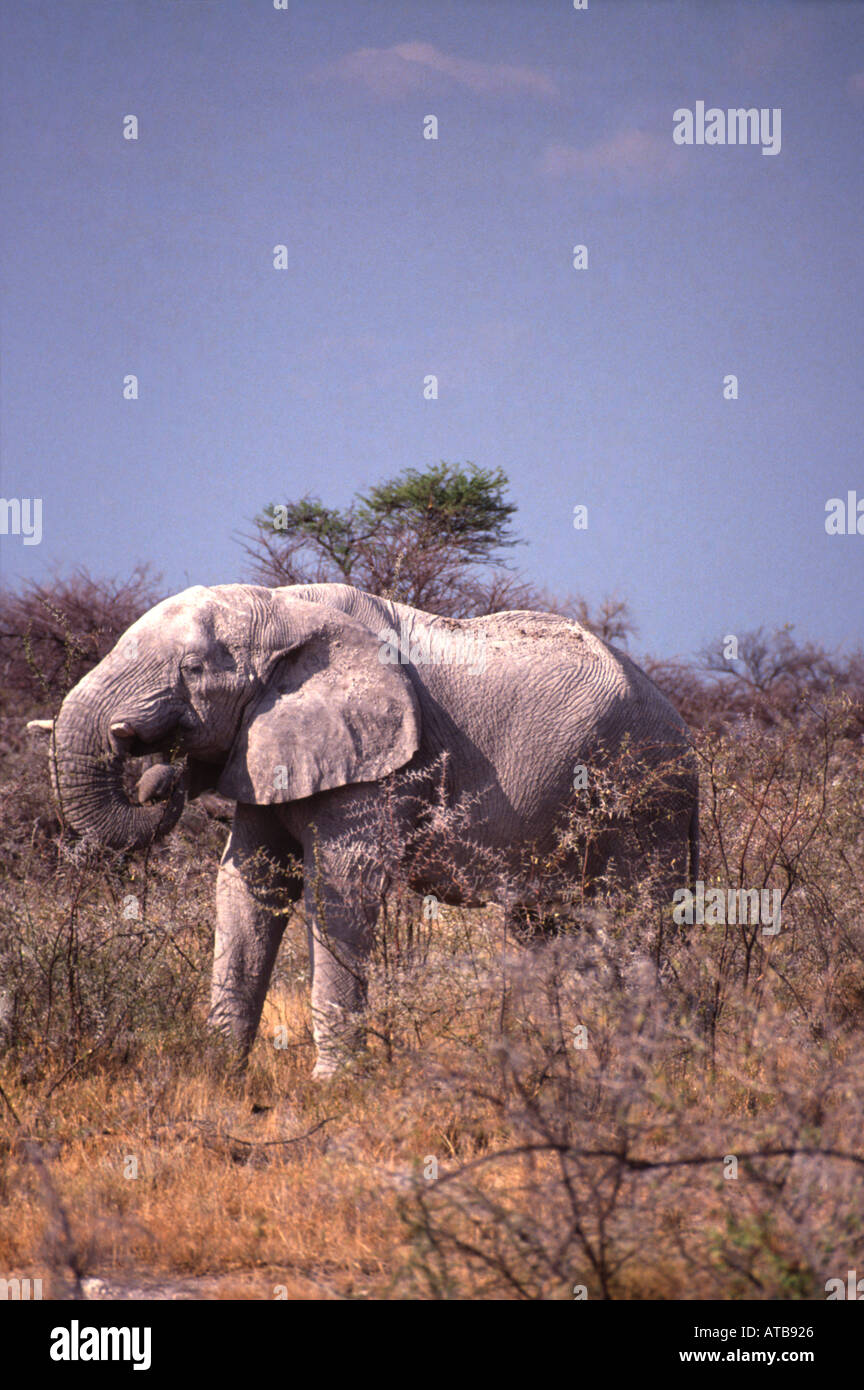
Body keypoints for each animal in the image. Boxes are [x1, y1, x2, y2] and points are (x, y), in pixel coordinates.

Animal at [31, 582, 698, 1077]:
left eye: (193, 669)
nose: (158, 773)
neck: (285, 608)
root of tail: (683, 725)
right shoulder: (270, 745)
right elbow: (248, 886)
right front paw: (217, 1075)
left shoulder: (372, 758)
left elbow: (340, 888)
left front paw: (335, 1086)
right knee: (538, 928)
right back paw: (542, 1073)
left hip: (647, 796)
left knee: (635, 927)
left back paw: (644, 1076)